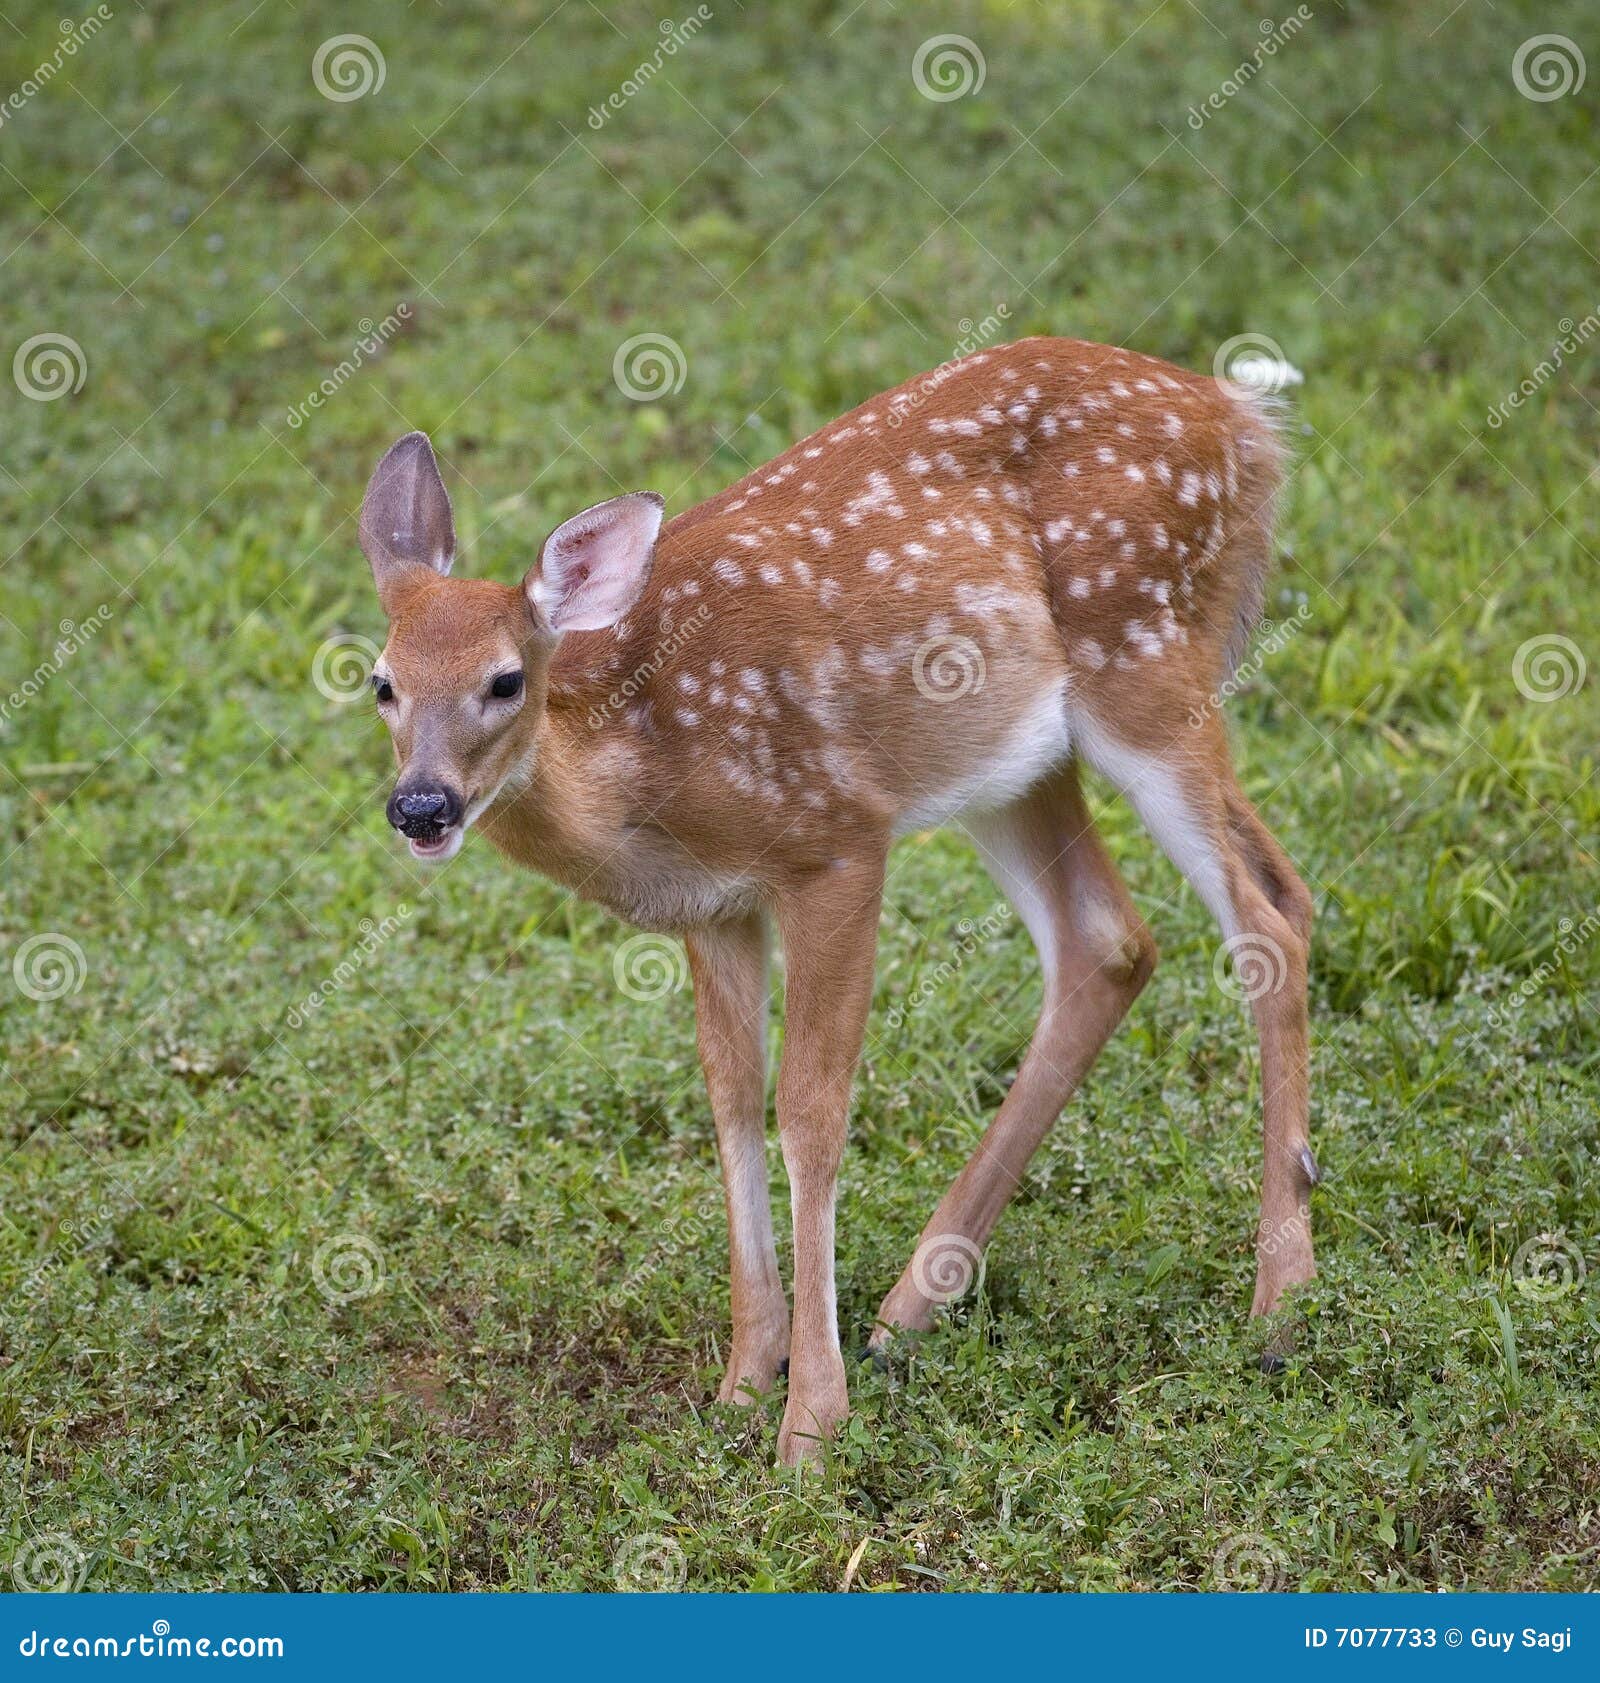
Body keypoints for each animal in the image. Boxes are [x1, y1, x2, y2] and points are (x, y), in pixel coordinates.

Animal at [356, 335, 1317, 1467]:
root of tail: (1241, 418)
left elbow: (811, 1111)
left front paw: (810, 1427)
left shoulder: (835, 844)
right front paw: (744, 1378)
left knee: (1270, 913)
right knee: (1111, 941)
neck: (645, 767)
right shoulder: (715, 909)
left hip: (1145, 656)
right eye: (379, 681)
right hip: (1010, 756)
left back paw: (1279, 1307)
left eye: (505, 681)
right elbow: (731, 1098)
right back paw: (914, 1304)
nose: (422, 805)